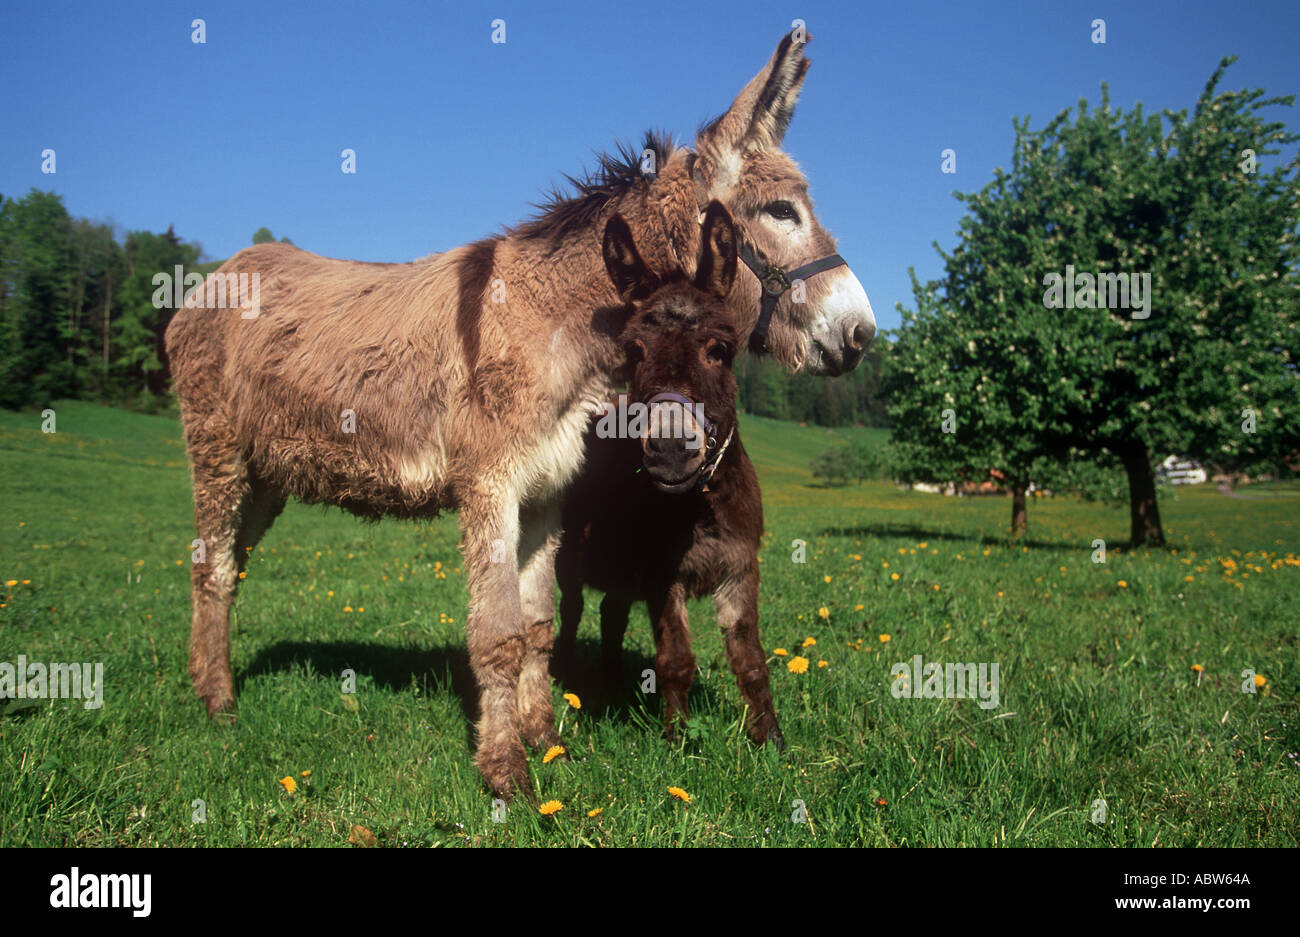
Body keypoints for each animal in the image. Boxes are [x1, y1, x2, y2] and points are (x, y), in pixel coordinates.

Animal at [554, 202, 782, 748]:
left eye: (719, 350)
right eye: (635, 352)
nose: (673, 449)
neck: (698, 504)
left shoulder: (741, 568)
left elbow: (752, 661)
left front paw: (771, 740)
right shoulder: (663, 576)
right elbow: (676, 660)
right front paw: (677, 742)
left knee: (611, 612)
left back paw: (611, 677)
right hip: (568, 554)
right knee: (572, 608)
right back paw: (570, 671)